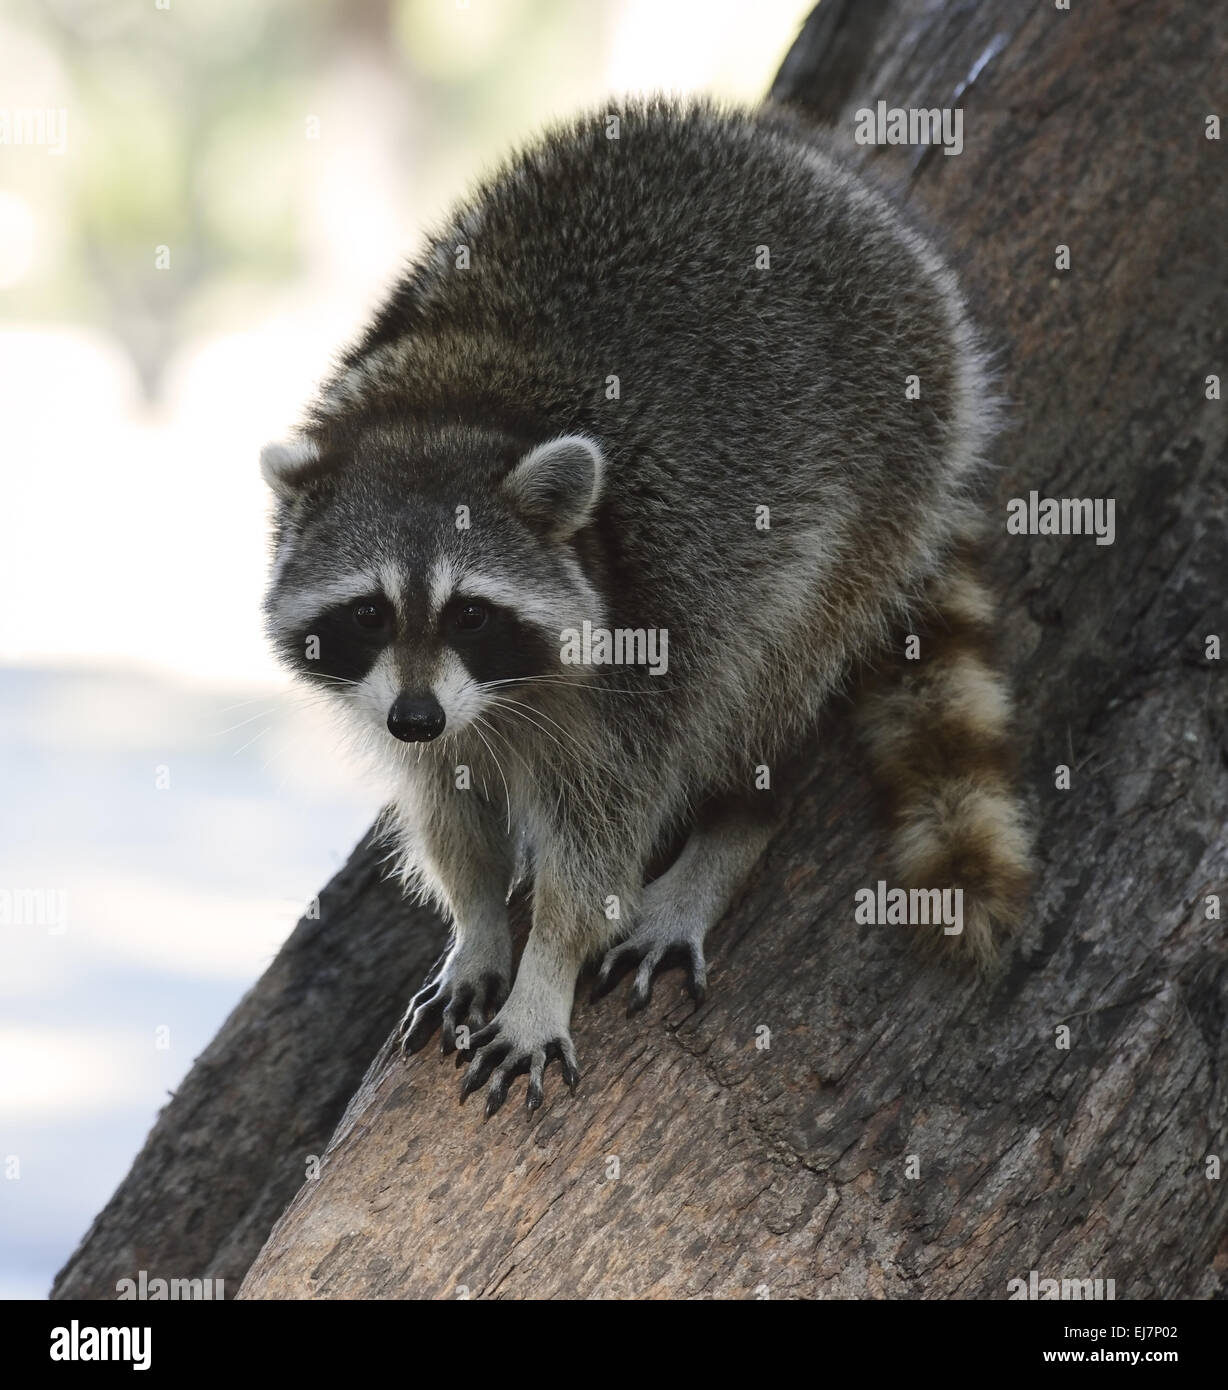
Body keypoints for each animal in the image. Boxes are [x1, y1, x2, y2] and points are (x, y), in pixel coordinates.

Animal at [262, 98, 1032, 1117]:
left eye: (469, 614)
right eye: (368, 615)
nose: (417, 717)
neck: (443, 412)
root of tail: (822, 165)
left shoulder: (655, 626)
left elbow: (604, 831)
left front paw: (546, 967)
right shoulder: (405, 696)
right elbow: (448, 803)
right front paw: (478, 924)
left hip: (885, 466)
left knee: (776, 662)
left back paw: (739, 814)